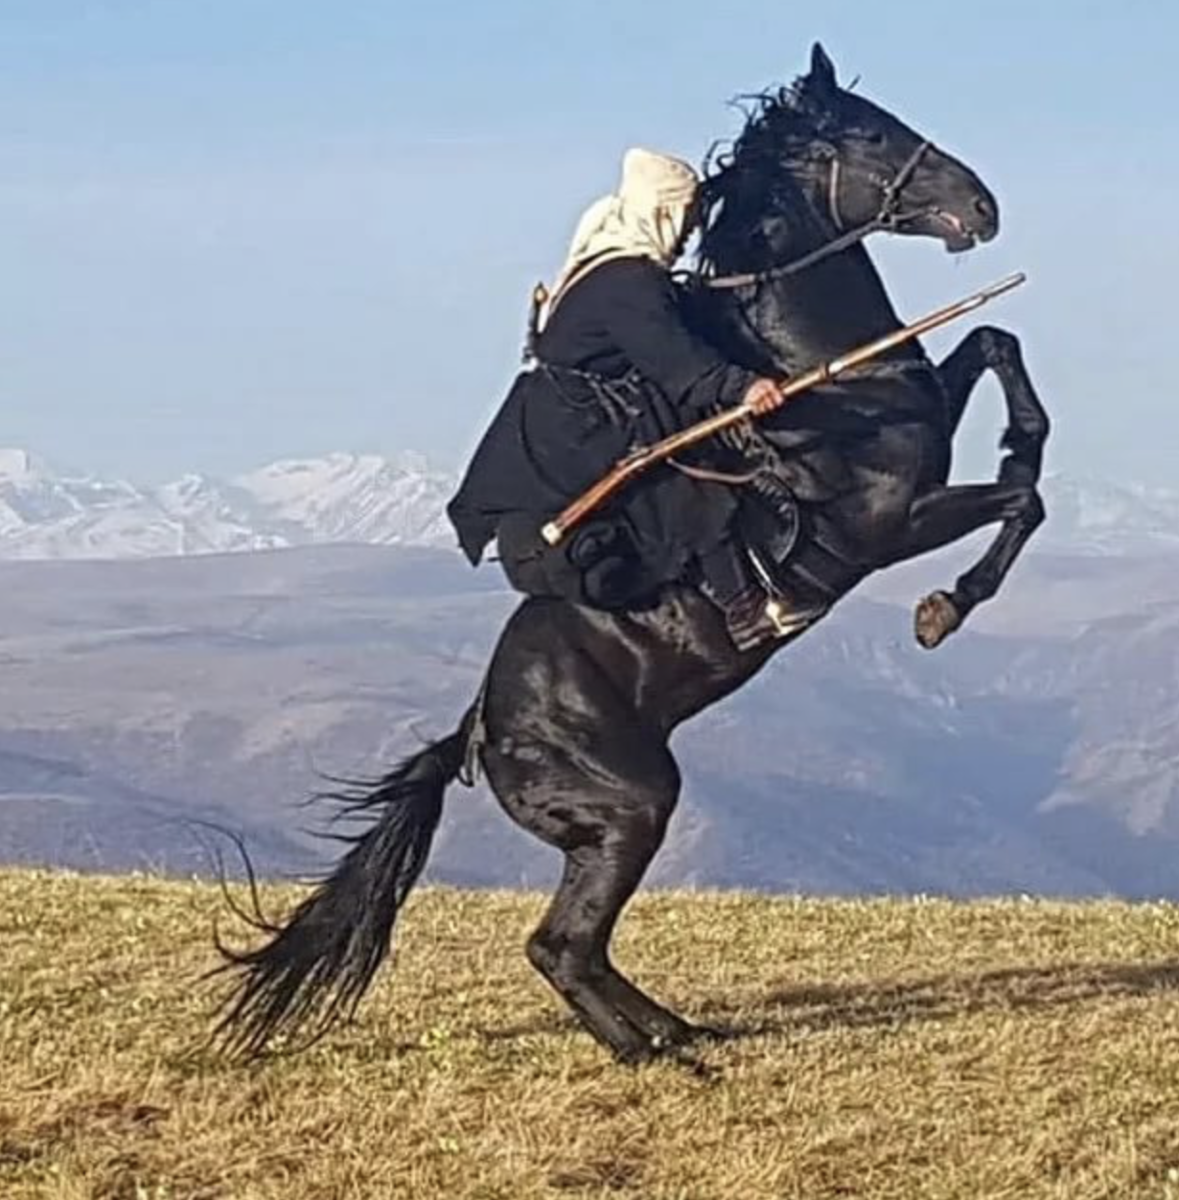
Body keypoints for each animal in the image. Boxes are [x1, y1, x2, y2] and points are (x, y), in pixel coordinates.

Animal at [210, 44, 1051, 1070]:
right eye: (868, 134)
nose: (982, 206)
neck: (823, 380)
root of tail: (479, 733)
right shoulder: (890, 525)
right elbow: (1020, 500)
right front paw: (943, 609)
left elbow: (995, 342)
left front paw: (1017, 439)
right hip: (633, 807)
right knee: (560, 945)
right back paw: (661, 1052)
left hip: (610, 823)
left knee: (577, 946)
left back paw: (677, 1028)